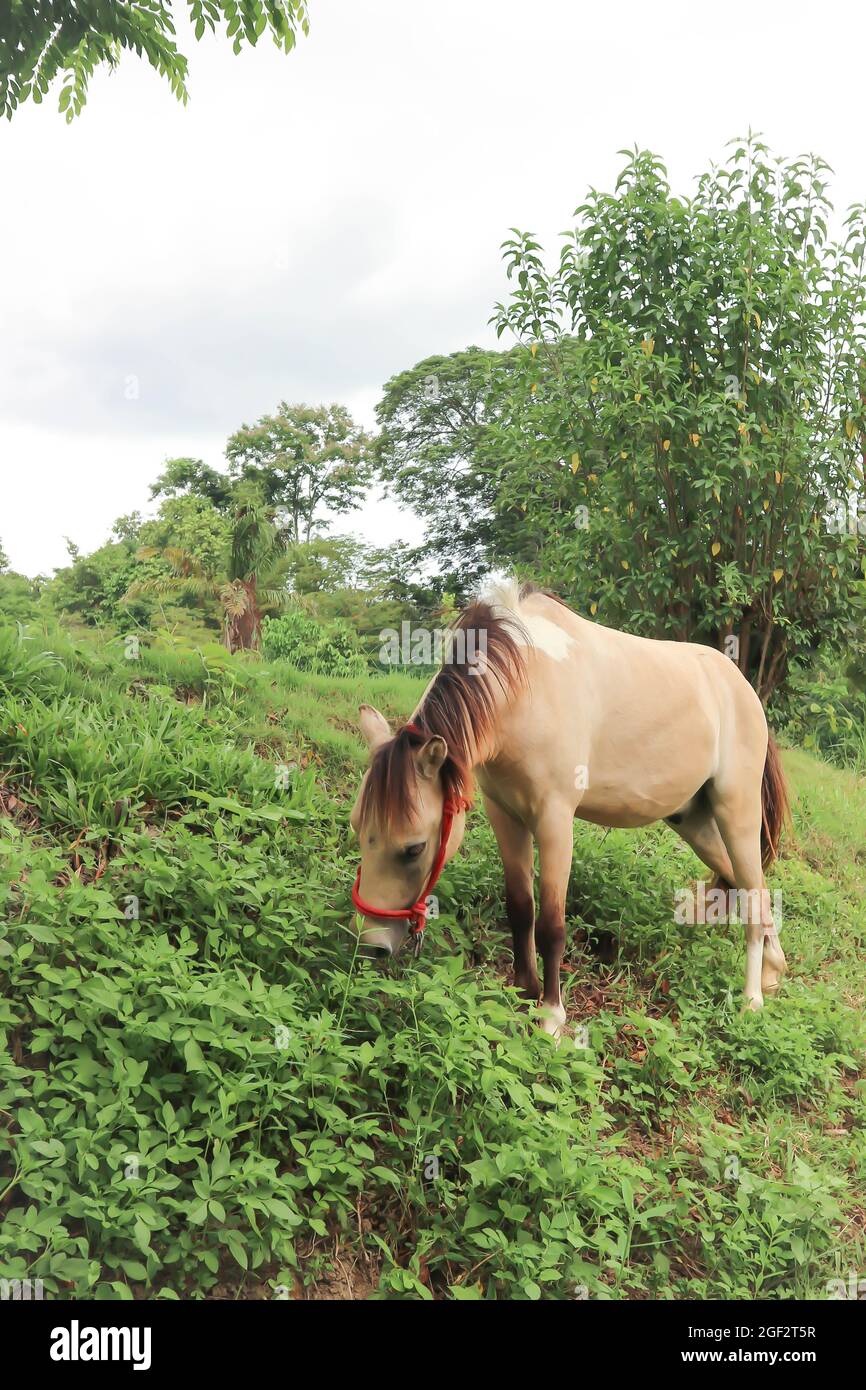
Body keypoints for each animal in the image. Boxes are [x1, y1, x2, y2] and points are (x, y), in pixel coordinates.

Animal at [349, 579, 788, 1035]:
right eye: (357, 830)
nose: (371, 944)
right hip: (694, 822)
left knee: (755, 893)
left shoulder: (554, 821)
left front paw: (551, 1018)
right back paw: (773, 974)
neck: (525, 688)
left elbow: (550, 927)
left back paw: (752, 1000)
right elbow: (520, 908)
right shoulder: (505, 815)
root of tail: (744, 691)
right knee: (750, 886)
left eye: (414, 848)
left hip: (736, 812)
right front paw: (523, 989)